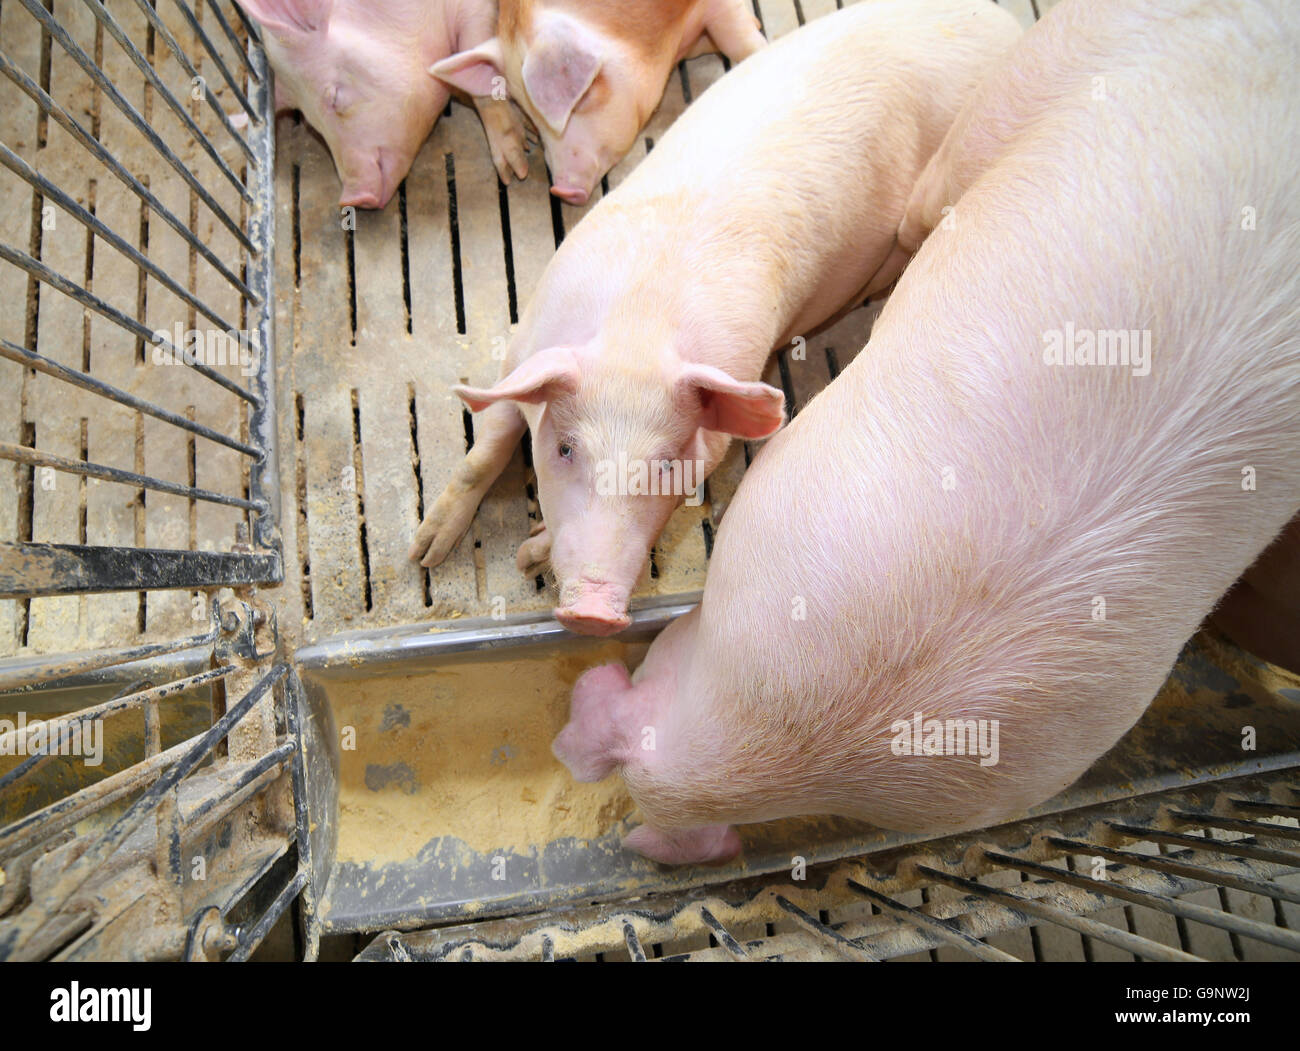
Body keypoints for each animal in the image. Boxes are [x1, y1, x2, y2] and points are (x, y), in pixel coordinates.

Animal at [237, 0, 531, 208]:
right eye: (309, 120)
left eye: (335, 97)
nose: (351, 198)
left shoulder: (475, 10)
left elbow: (479, 67)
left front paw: (515, 165)